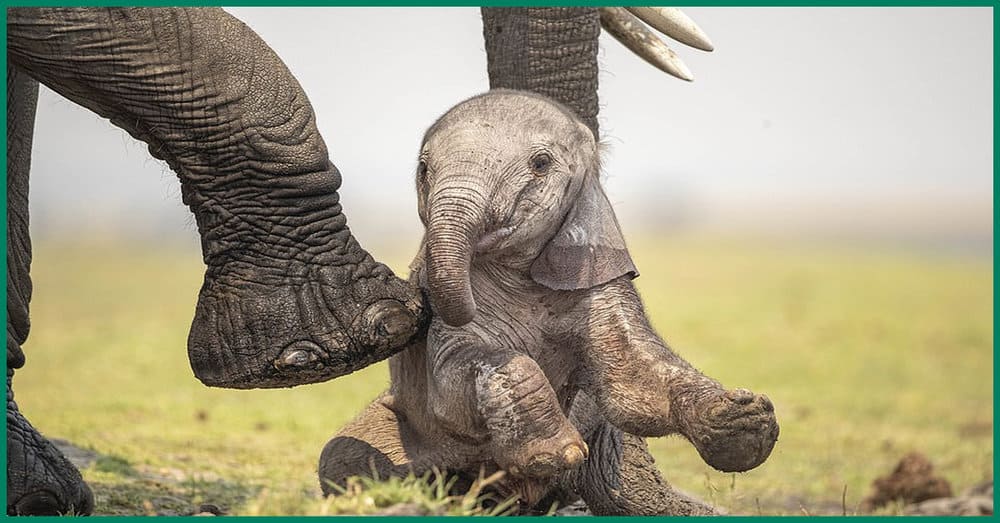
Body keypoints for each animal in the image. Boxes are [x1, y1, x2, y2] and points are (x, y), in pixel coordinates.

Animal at [317, 90, 779, 515]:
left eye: (541, 164)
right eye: (423, 169)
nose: (418, 297)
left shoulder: (596, 278)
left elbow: (633, 379)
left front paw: (744, 417)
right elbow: (452, 384)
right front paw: (553, 453)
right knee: (341, 457)